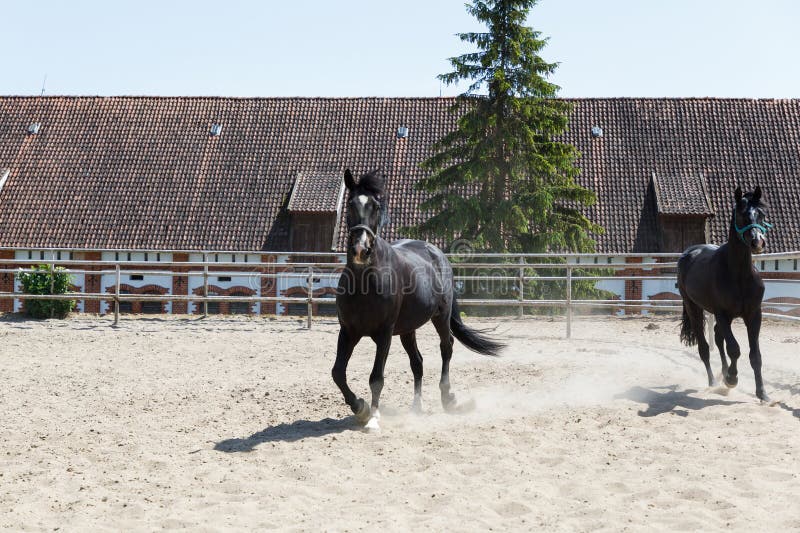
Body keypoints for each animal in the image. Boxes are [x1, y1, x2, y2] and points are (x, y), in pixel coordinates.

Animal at [333, 169, 505, 430]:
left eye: (375, 206)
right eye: (350, 204)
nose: (361, 249)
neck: (364, 281)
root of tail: (437, 253)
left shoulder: (384, 333)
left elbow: (376, 377)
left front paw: (372, 417)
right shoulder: (348, 331)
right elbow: (338, 373)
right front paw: (360, 408)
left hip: (440, 316)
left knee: (447, 346)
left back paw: (448, 398)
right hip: (407, 329)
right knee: (418, 362)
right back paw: (416, 408)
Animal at [677, 186, 773, 402]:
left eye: (762, 214)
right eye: (742, 215)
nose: (757, 242)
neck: (739, 275)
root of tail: (689, 253)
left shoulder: (754, 315)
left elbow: (755, 355)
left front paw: (762, 393)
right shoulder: (722, 314)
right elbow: (734, 349)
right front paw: (731, 379)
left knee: (718, 338)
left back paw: (723, 373)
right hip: (694, 308)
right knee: (705, 348)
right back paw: (714, 381)